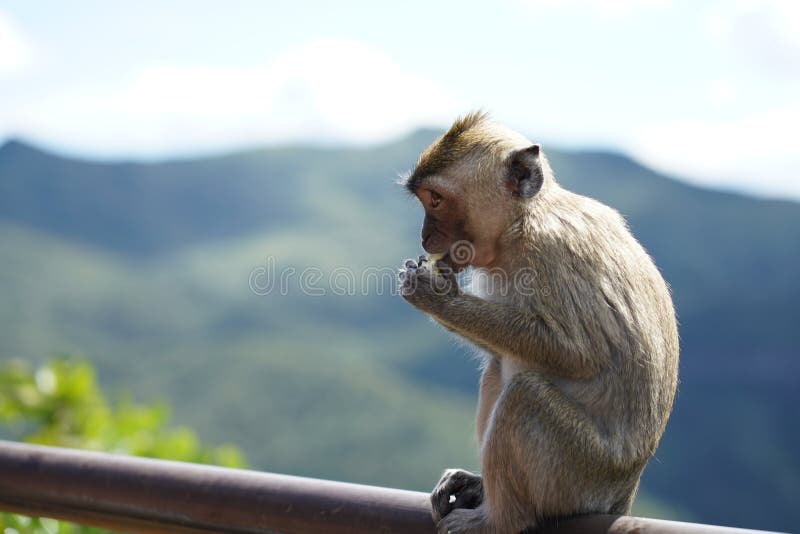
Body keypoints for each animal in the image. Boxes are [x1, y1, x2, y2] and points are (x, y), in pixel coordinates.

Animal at [397, 112, 679, 534]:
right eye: (426, 201)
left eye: (437, 200)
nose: (425, 236)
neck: (520, 225)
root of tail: (621, 496)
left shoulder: (553, 254)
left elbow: (578, 353)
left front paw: (435, 297)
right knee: (498, 367)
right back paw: (478, 486)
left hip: (576, 475)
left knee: (525, 396)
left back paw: (498, 520)